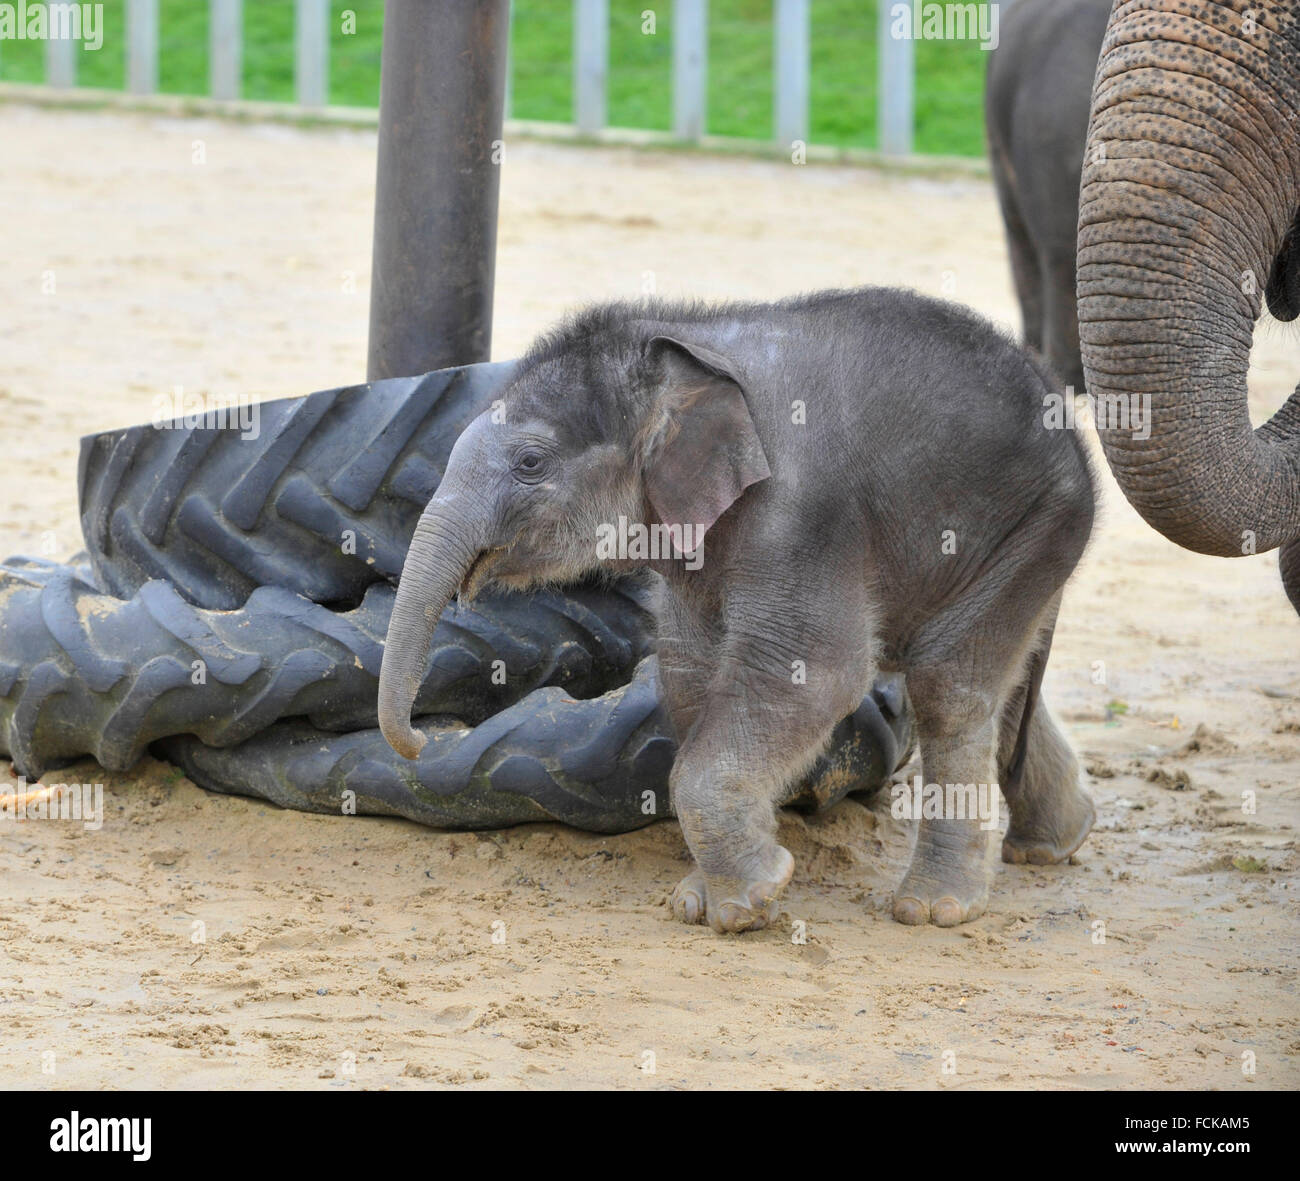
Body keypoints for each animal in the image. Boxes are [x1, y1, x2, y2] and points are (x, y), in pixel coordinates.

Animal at [377, 288, 1098, 932]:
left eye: (530, 462)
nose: (419, 740)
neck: (680, 342)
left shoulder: (800, 514)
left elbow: (817, 672)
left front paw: (750, 900)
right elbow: (691, 671)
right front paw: (703, 902)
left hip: (1036, 521)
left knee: (947, 686)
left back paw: (934, 908)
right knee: (997, 683)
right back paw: (1053, 845)